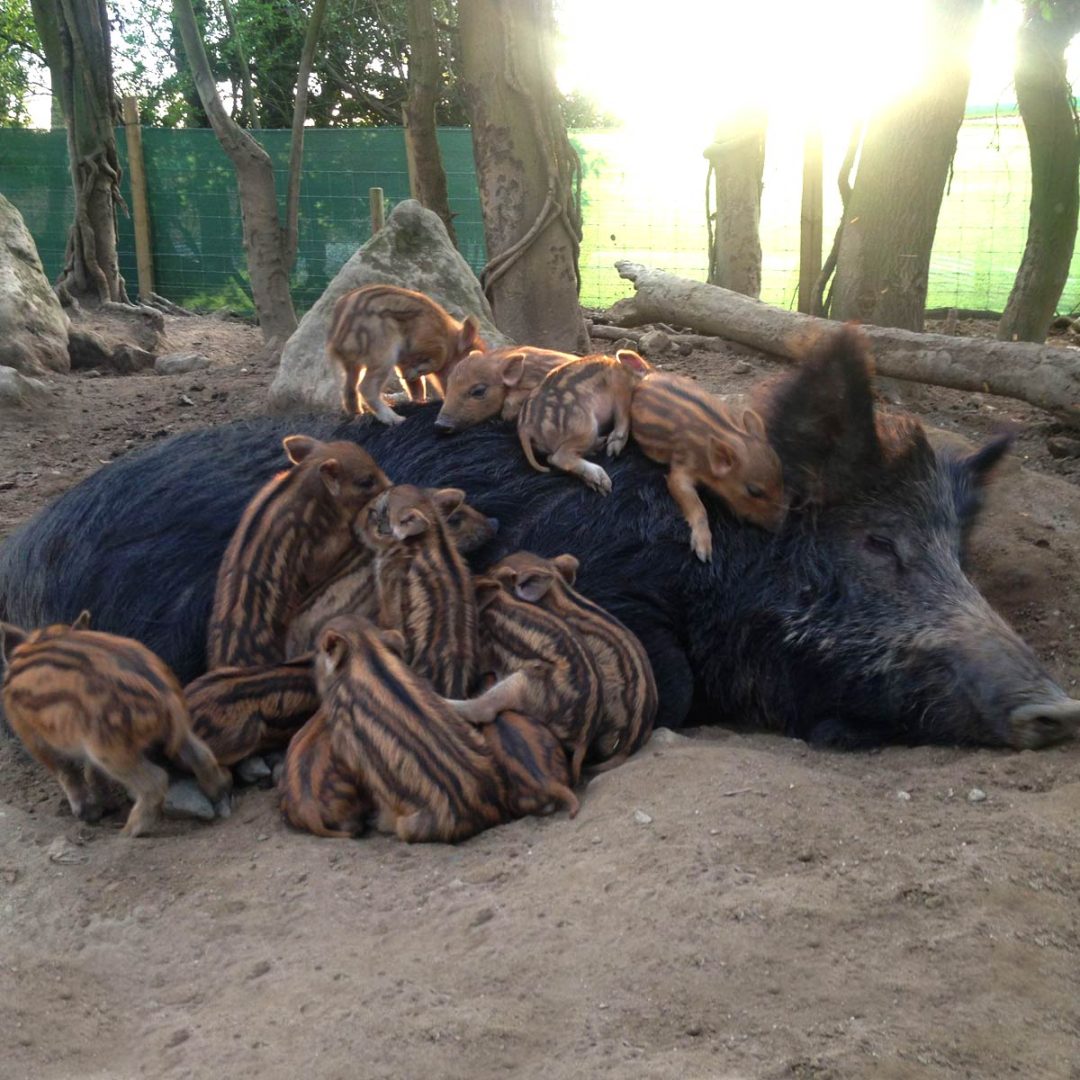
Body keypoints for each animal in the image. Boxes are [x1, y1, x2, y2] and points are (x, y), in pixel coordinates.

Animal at [327, 284, 484, 424]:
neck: (449, 339)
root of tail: (338, 338)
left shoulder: (403, 363)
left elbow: (415, 386)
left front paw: (419, 399)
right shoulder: (430, 345)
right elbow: (434, 362)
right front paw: (414, 375)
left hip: (352, 366)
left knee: (350, 390)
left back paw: (358, 413)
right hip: (383, 356)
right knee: (366, 388)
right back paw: (396, 419)